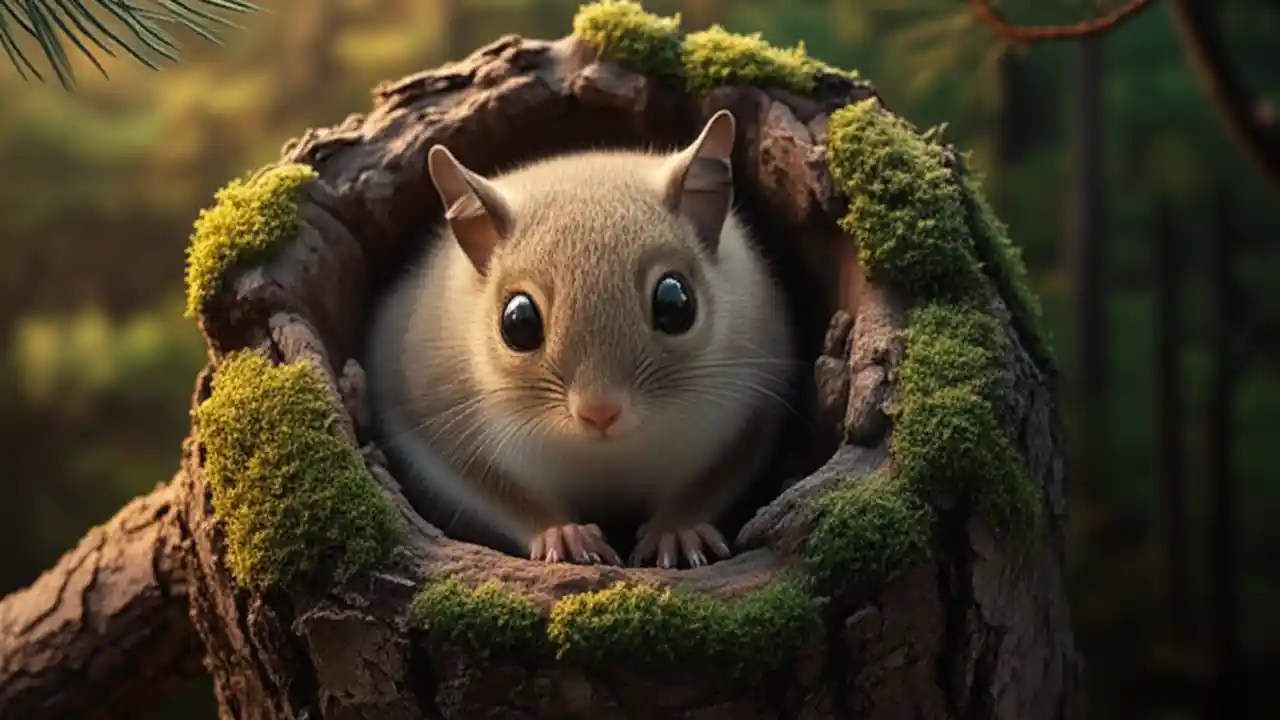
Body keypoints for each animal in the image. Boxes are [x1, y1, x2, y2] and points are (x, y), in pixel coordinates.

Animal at [367, 110, 796, 569]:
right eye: (517, 321)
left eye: (676, 303)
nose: (599, 411)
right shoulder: (430, 424)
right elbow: (495, 492)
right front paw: (563, 534)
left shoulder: (754, 403)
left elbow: (715, 478)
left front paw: (678, 531)